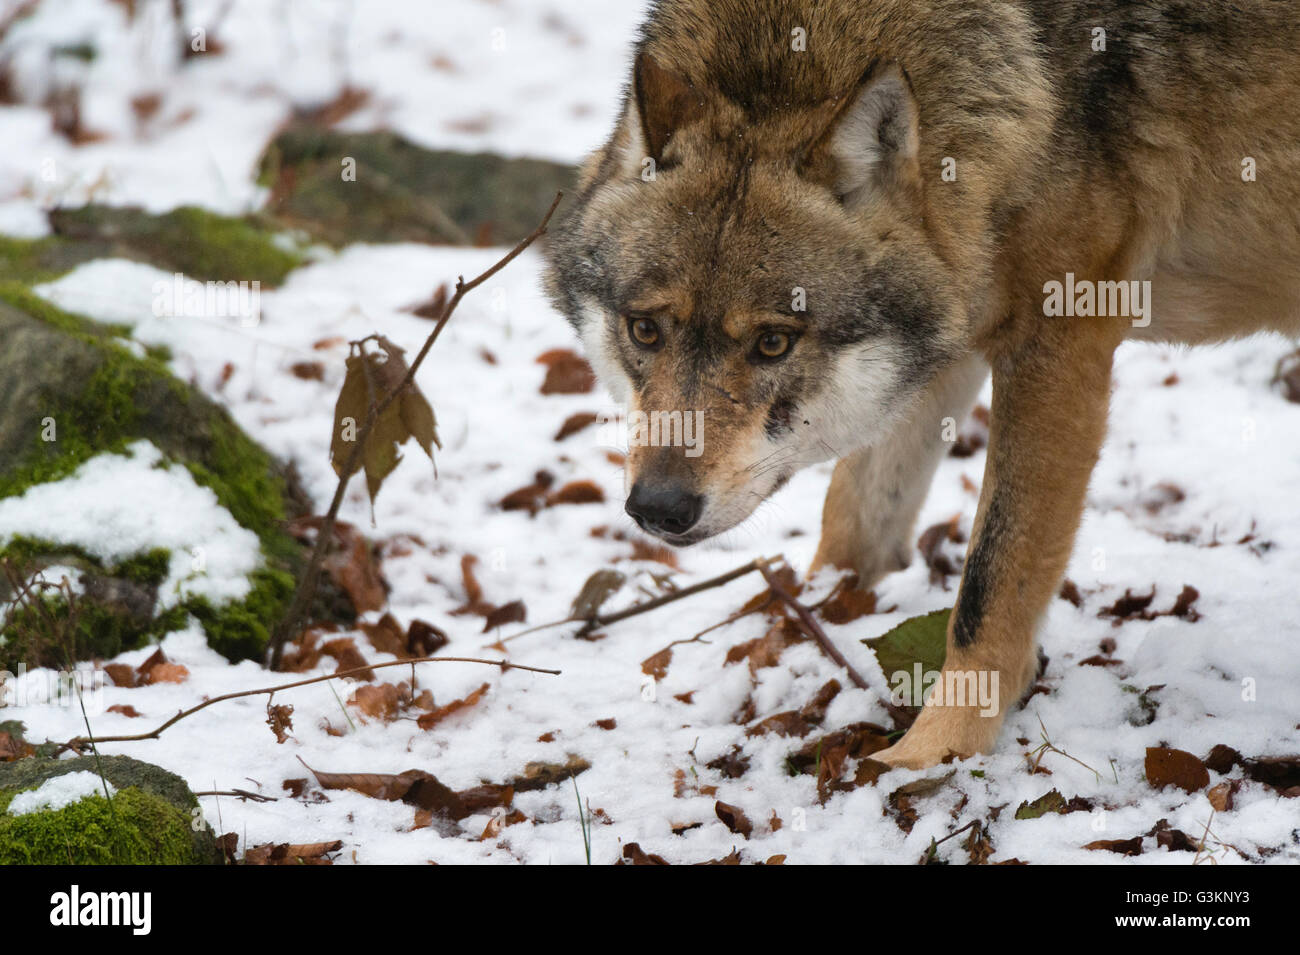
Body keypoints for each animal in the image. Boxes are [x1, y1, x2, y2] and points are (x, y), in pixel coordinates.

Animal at [542, 0, 1300, 769]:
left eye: (772, 342)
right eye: (645, 330)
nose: (658, 508)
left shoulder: (1059, 342)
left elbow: (988, 584)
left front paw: (925, 761)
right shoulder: (948, 338)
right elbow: (853, 523)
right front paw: (795, 634)